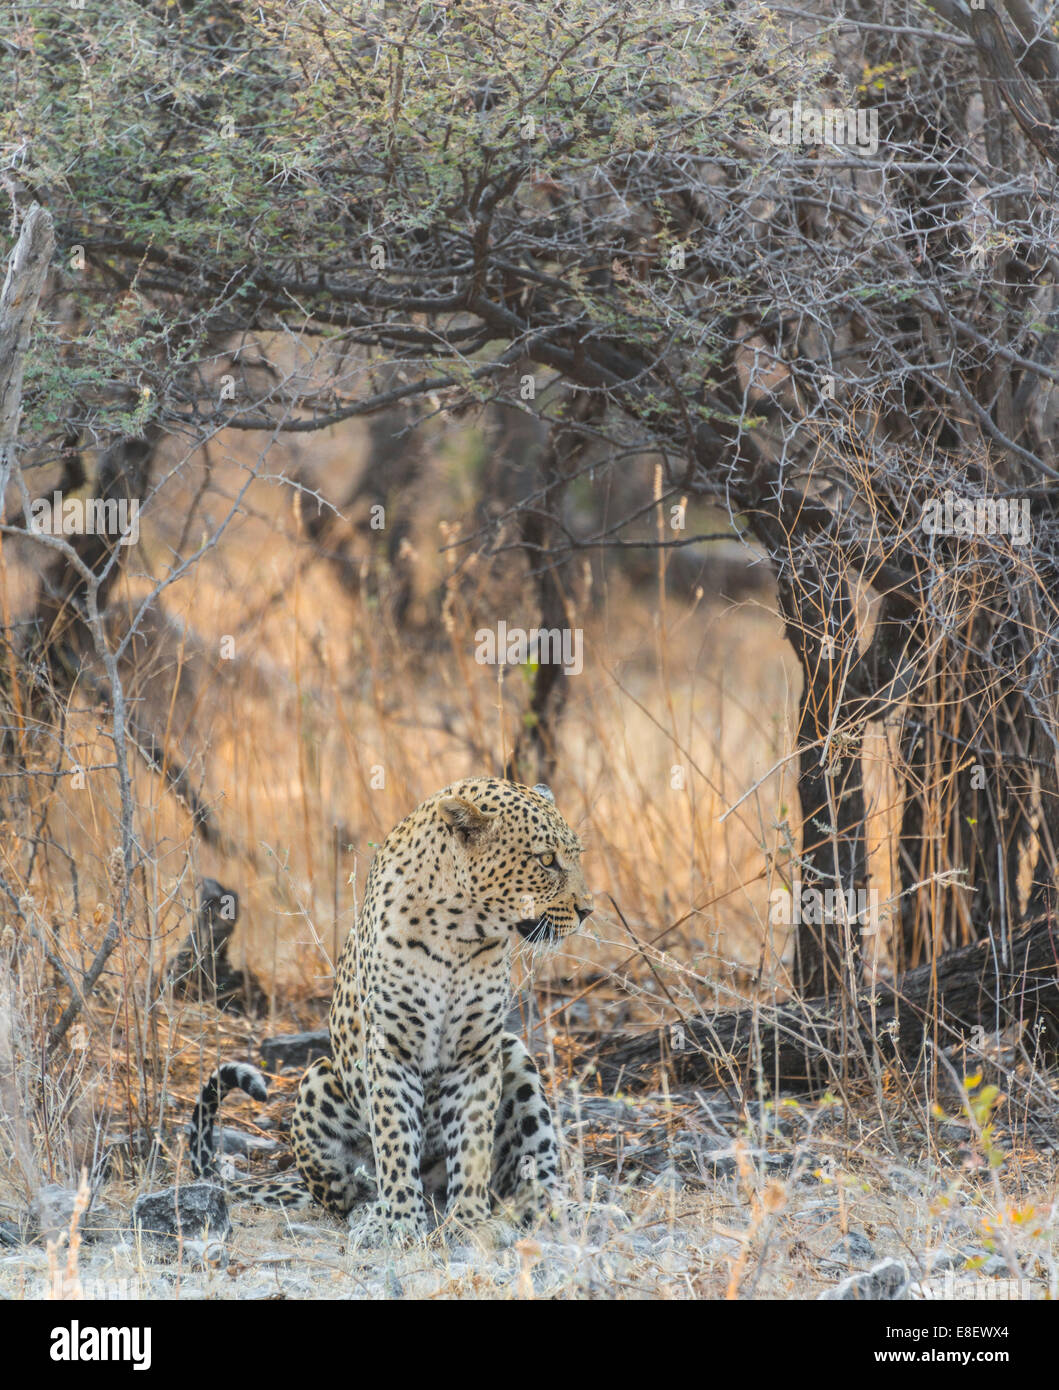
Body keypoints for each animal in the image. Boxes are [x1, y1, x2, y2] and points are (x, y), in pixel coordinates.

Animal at [187, 777, 592, 1247]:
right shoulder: (392, 1047)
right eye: (545, 860)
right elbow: (396, 1138)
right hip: (317, 1080)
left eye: (574, 856)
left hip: (515, 1055)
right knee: (346, 1195)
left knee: (531, 1183)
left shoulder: (476, 1055)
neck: (463, 932)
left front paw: (470, 1222)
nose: (588, 910)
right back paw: (372, 1212)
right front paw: (398, 1221)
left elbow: (472, 1145)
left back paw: (567, 1212)